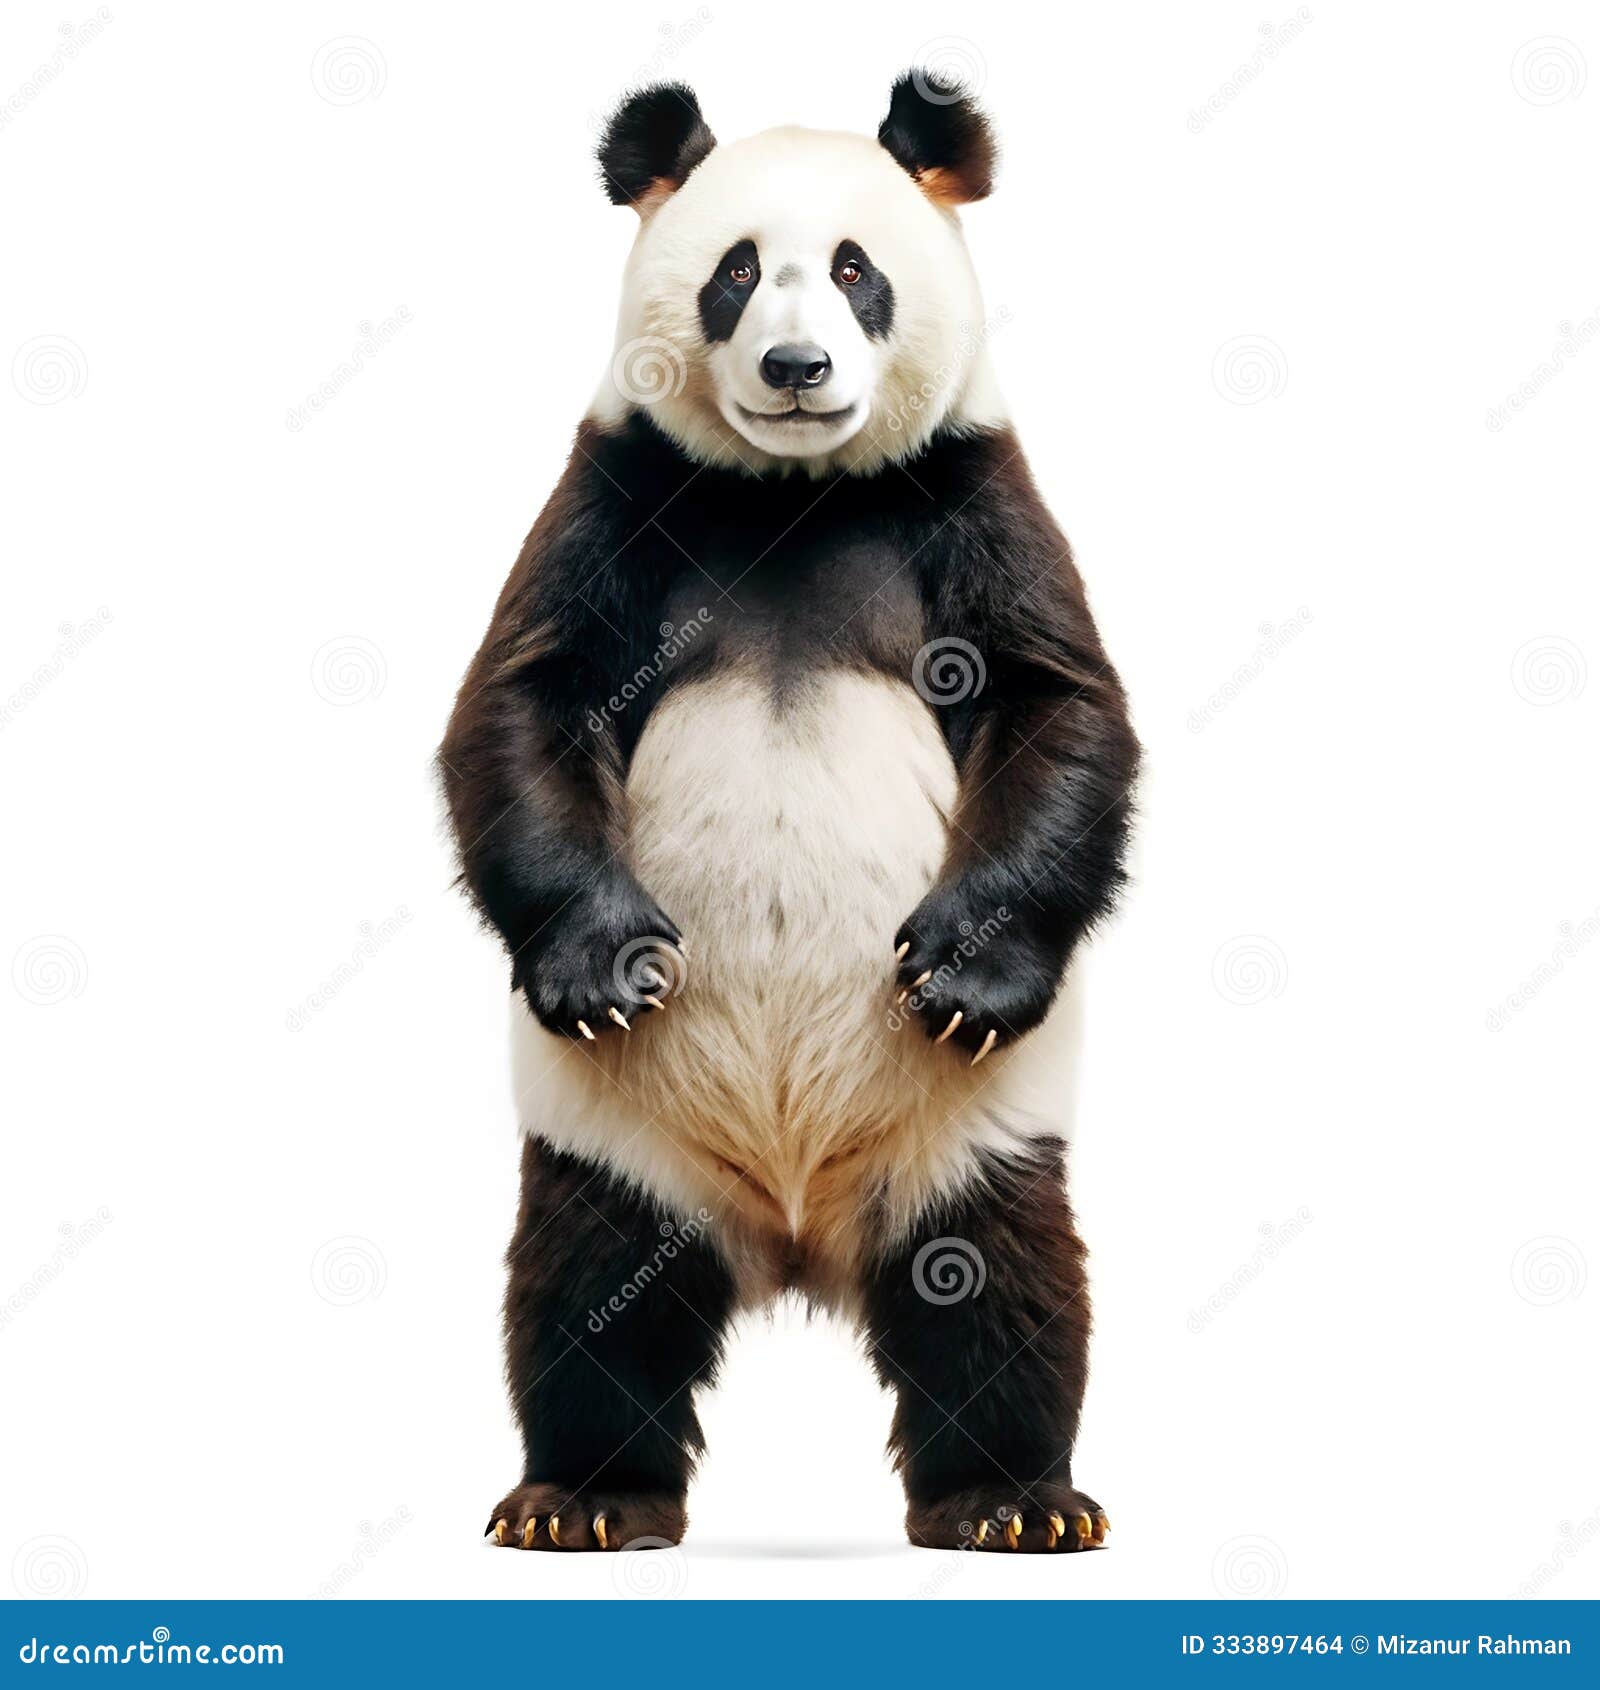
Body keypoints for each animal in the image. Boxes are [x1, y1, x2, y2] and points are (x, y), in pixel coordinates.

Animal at [441, 70, 1139, 1556]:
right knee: (590, 1291)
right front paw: (605, 965)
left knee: (1003, 1284)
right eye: (737, 272)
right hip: (616, 1143)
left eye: (858, 270)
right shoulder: (619, 487)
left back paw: (1011, 1499)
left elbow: (1059, 707)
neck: (797, 495)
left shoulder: (973, 491)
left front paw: (959, 975)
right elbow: (523, 696)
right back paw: (585, 1498)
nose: (797, 371)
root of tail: (798, 1229)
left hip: (971, 1140)